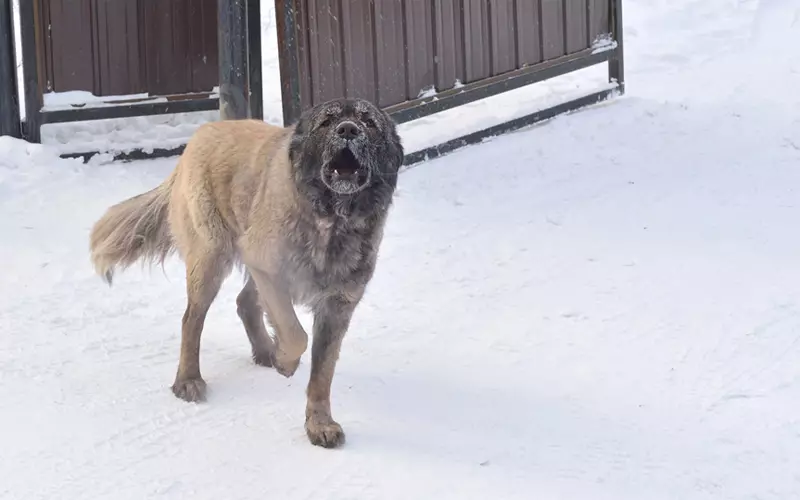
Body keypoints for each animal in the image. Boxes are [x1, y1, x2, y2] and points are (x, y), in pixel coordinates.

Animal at [88, 98, 404, 450]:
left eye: (368, 122)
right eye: (327, 122)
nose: (348, 130)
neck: (331, 219)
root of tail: (200, 135)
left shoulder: (337, 306)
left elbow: (322, 373)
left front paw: (319, 423)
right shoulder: (269, 266)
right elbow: (296, 335)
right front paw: (286, 361)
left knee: (244, 302)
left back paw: (264, 351)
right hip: (212, 258)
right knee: (191, 319)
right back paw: (189, 379)